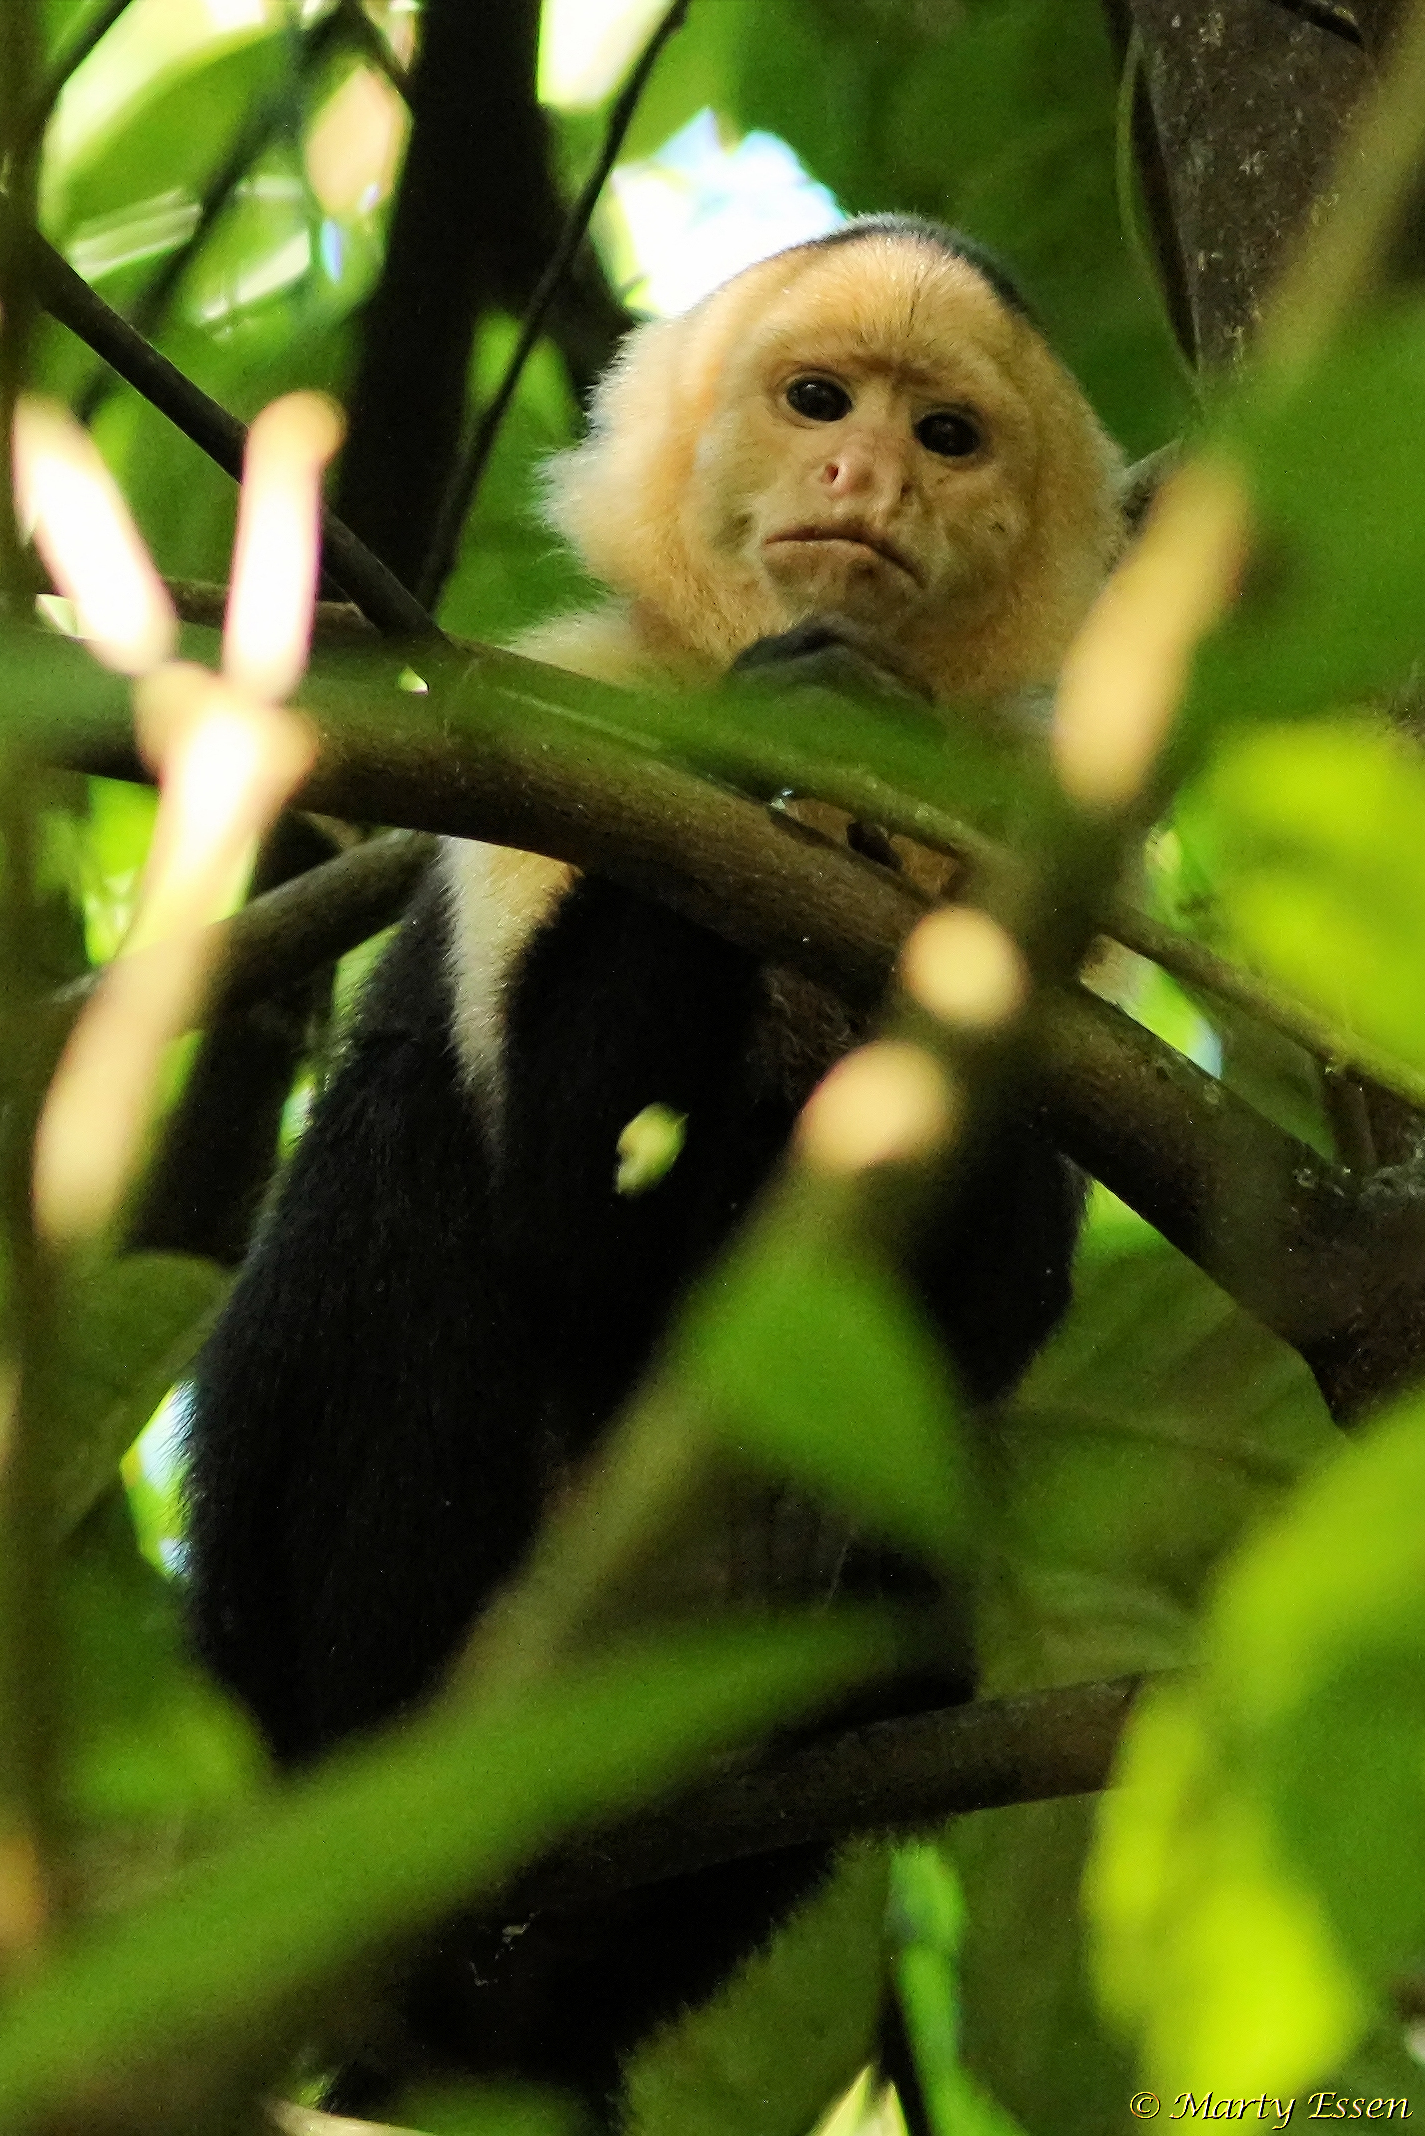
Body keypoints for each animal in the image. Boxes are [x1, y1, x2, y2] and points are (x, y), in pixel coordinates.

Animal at [185, 215, 1125, 2127]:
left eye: (946, 437)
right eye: (820, 401)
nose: (860, 477)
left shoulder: (1028, 818)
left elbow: (987, 1311)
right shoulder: (576, 722)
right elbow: (572, 1206)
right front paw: (781, 744)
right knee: (412, 1198)